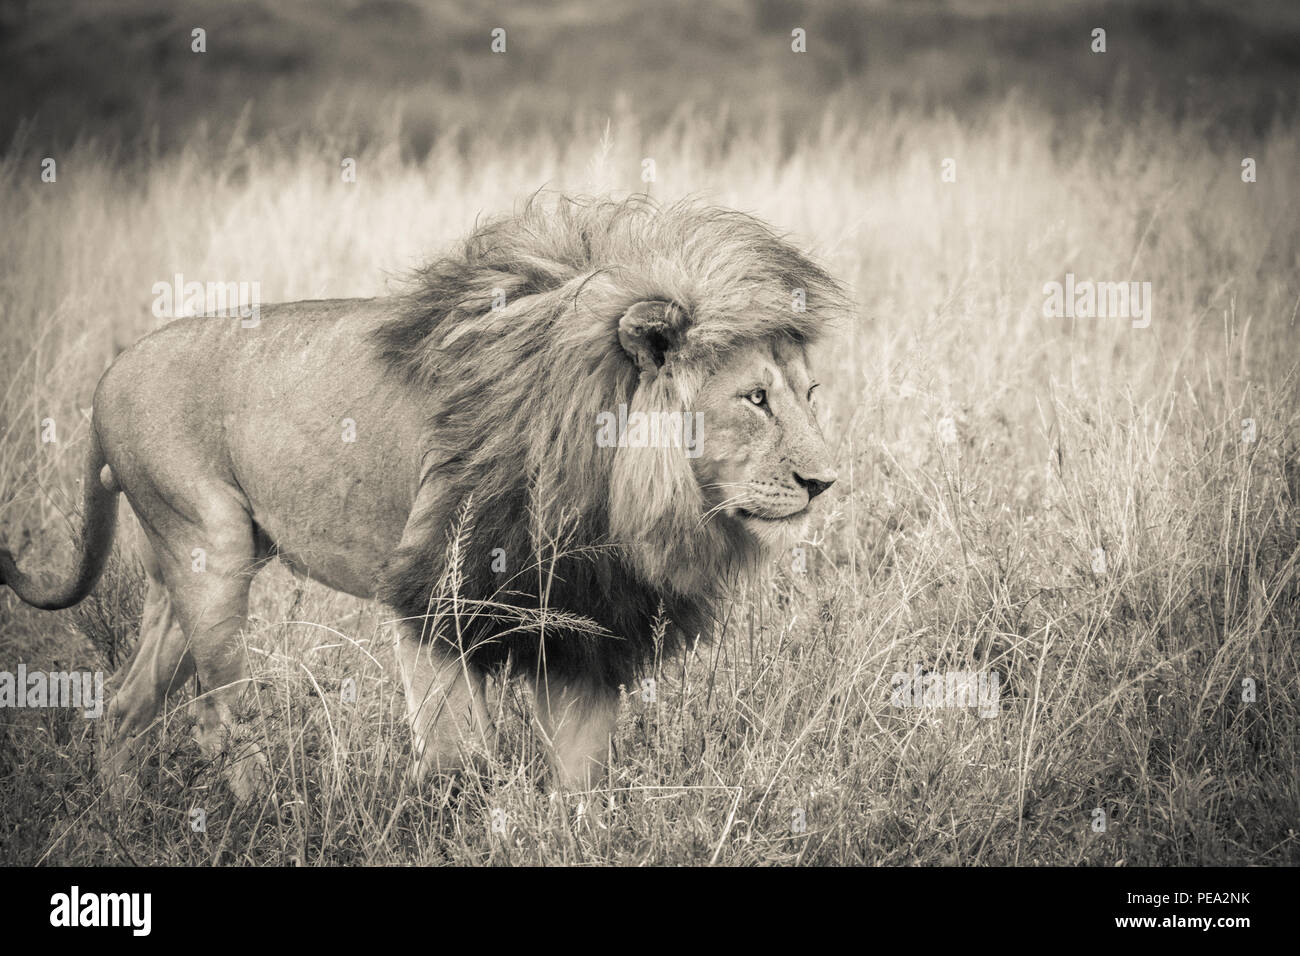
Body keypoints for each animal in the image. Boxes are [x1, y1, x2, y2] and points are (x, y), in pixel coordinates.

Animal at [0, 194, 847, 799]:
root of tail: (109, 376)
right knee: (224, 714)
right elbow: (458, 755)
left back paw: (119, 814)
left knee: (126, 705)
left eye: (811, 395)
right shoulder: (437, 598)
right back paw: (256, 808)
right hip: (209, 547)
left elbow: (578, 777)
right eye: (755, 399)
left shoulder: (582, 620)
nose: (825, 482)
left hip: (183, 567)